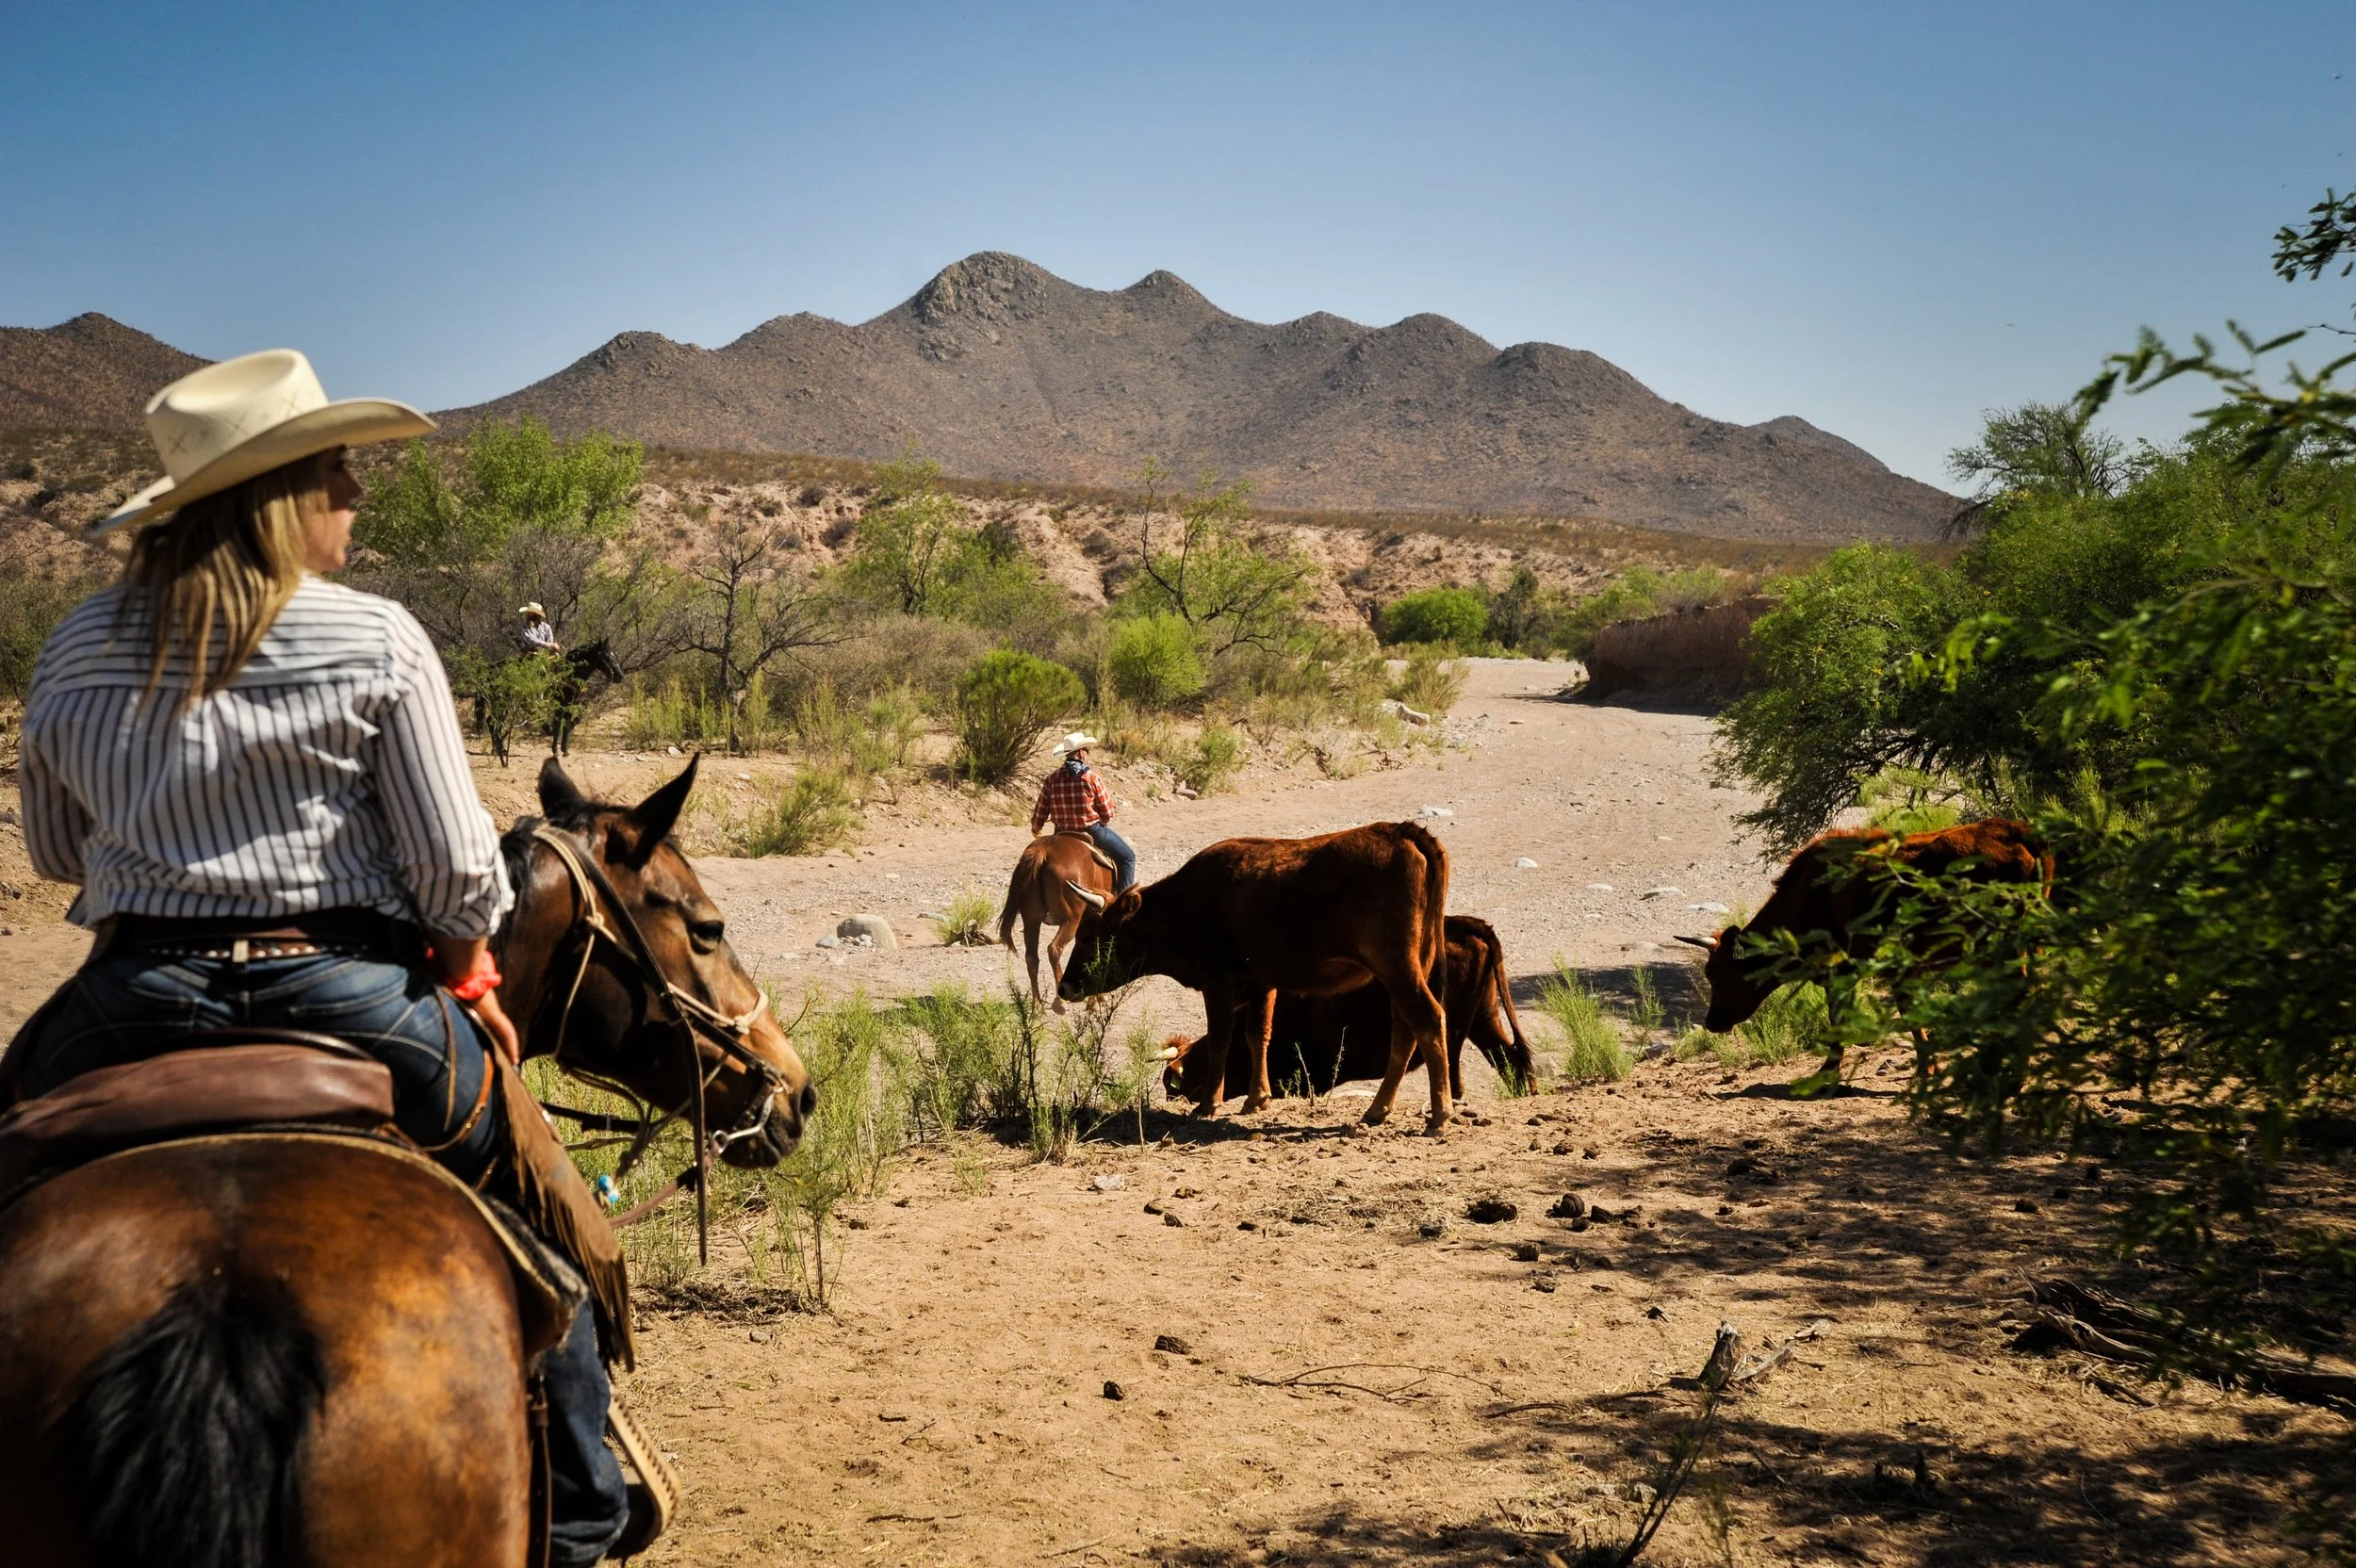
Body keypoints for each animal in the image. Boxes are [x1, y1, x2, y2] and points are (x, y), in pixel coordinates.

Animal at [999, 832, 1119, 1007]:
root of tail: (1043, 851)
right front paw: (1096, 999)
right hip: (1070, 921)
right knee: (1054, 949)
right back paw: (1061, 1000)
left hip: (1031, 920)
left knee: (1032, 957)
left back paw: (1038, 1006)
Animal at [1056, 821, 1454, 1133]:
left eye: (1089, 936)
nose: (1064, 986)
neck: (1185, 903)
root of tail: (1401, 832)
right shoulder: (1263, 983)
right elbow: (1257, 1035)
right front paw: (1256, 1099)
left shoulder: (1218, 983)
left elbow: (1221, 1039)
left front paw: (1208, 1104)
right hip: (1405, 970)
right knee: (1405, 1031)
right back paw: (1378, 1110)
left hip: (1397, 968)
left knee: (1428, 1019)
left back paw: (1439, 1115)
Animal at [1162, 915, 1535, 1107]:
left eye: (1180, 1082)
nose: (1170, 1098)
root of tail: (1467, 924)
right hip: (1484, 1020)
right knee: (1511, 1056)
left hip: (1459, 1030)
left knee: (1459, 1070)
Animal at [1676, 817, 2054, 1092]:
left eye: (1718, 973)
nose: (1712, 1022)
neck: (1801, 900)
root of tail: (2019, 832)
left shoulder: (1840, 968)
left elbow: (1842, 1020)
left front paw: (1827, 1075)